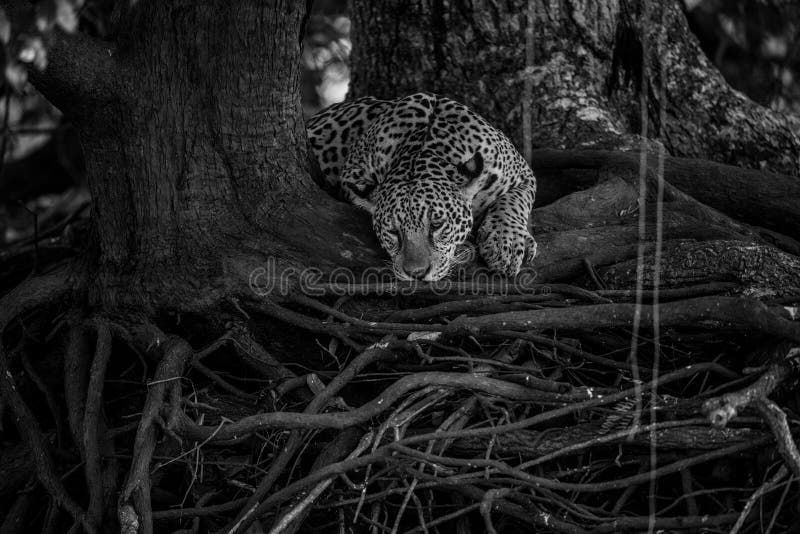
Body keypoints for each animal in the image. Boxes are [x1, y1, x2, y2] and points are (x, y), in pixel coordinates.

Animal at [306, 92, 537, 281]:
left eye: (437, 225)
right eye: (393, 231)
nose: (416, 273)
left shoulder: (523, 172)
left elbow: (513, 202)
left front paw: (506, 245)